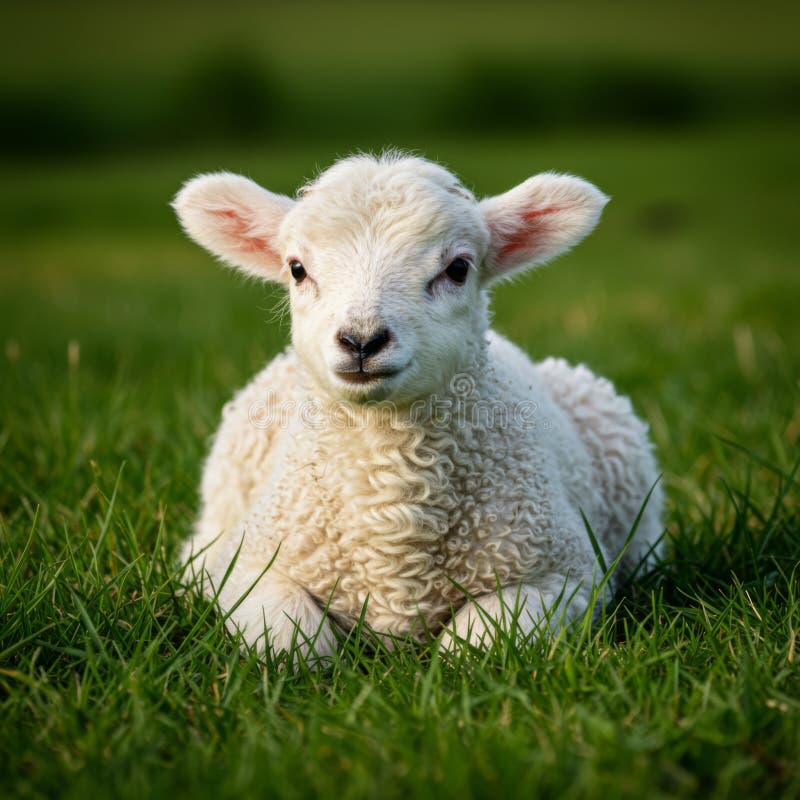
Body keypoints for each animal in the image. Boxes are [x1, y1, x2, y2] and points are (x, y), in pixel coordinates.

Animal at [173, 151, 663, 660]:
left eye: (458, 268)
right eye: (297, 269)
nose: (362, 341)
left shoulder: (564, 575)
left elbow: (479, 644)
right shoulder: (248, 566)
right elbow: (292, 643)